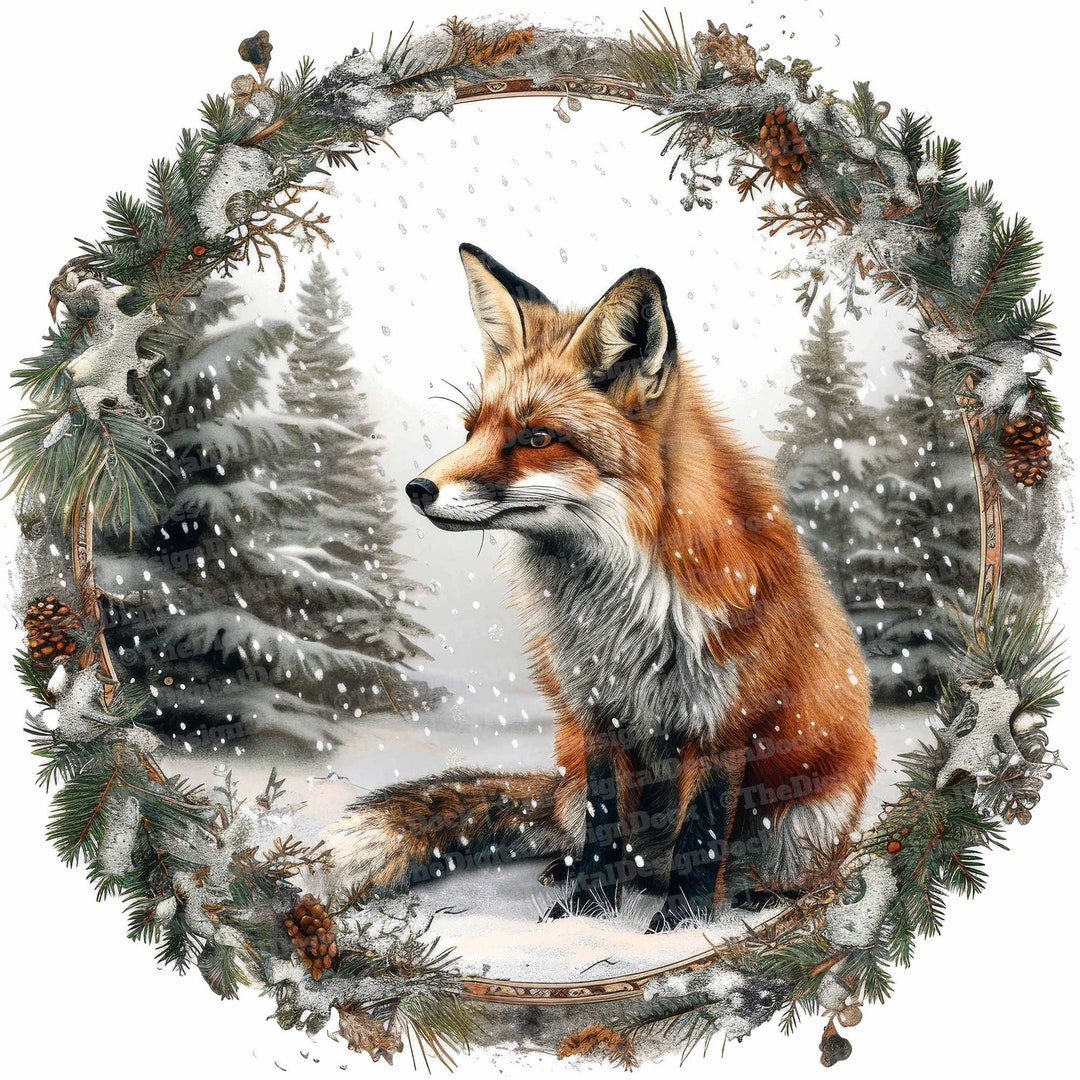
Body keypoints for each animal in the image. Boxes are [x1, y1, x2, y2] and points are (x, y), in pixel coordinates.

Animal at [323, 243, 877, 931]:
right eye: (471, 428)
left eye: (536, 438)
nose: (417, 489)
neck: (624, 608)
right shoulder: (597, 718)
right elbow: (603, 828)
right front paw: (586, 910)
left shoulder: (722, 725)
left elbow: (701, 840)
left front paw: (679, 927)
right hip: (571, 779)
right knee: (590, 835)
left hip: (809, 815)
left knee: (779, 865)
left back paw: (768, 893)